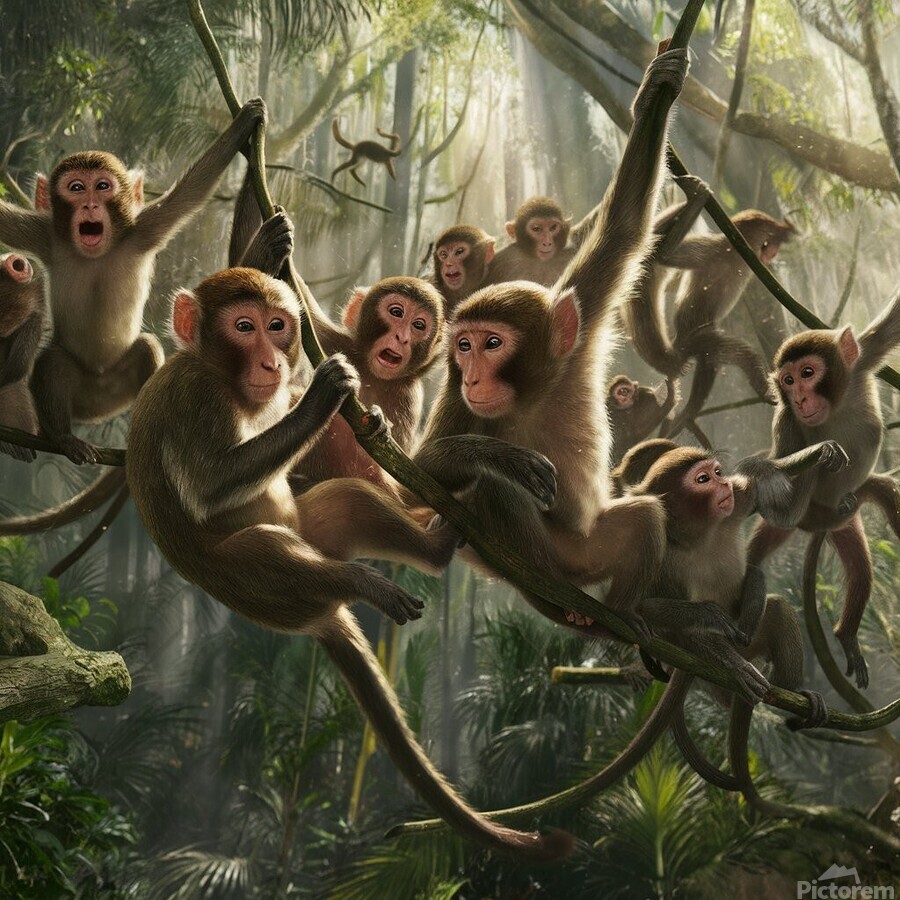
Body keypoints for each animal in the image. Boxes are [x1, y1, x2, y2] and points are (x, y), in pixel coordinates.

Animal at [0, 98, 267, 466]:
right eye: (76, 187)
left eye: (102, 186)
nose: (90, 205)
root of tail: (99, 412)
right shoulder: (44, 234)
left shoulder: (143, 229)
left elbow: (189, 194)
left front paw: (246, 123)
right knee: (53, 362)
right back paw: (64, 438)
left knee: (145, 348)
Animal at [125, 264, 573, 862]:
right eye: (245, 327)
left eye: (276, 326)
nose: (271, 361)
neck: (216, 373)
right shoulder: (194, 397)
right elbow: (209, 488)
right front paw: (322, 396)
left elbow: (389, 475)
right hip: (256, 588)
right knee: (265, 549)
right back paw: (361, 581)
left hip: (315, 531)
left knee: (350, 500)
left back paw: (432, 546)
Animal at [412, 47, 691, 639]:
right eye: (463, 347)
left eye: (492, 343)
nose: (473, 376)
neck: (532, 391)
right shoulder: (452, 389)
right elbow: (420, 472)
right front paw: (501, 457)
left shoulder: (579, 328)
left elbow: (624, 230)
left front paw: (656, 93)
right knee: (490, 492)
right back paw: (550, 593)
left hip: (592, 546)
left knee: (643, 518)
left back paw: (621, 617)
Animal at [745, 289, 900, 689]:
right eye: (787, 381)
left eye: (807, 374)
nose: (800, 399)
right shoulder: (787, 423)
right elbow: (779, 488)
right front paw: (821, 452)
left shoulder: (861, 362)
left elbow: (888, 329)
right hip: (812, 515)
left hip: (847, 519)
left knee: (863, 559)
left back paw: (845, 634)